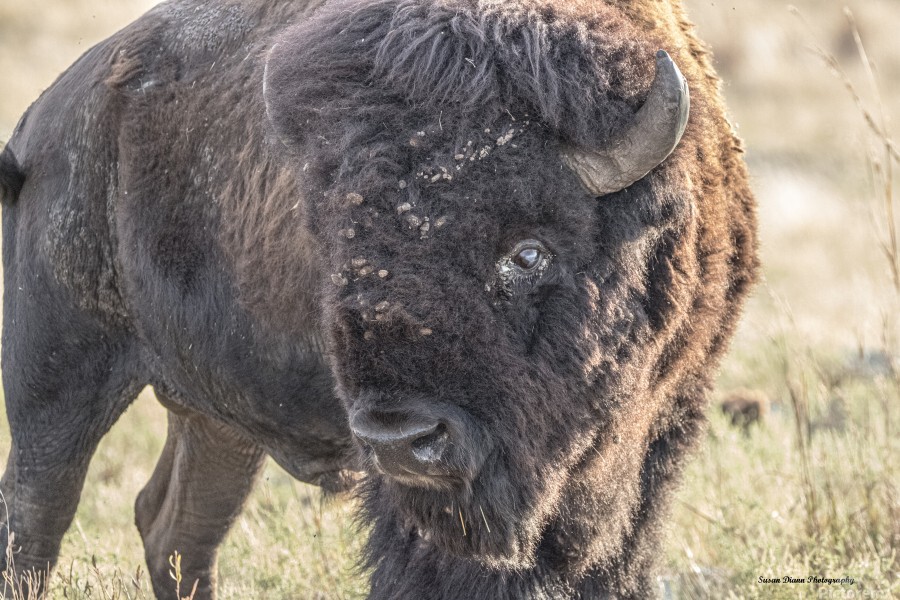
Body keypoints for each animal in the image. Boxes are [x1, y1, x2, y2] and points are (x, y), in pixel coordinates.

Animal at [0, 0, 758, 598]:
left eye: (528, 251)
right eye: (339, 253)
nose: (400, 438)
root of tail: (43, 122)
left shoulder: (658, 430)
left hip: (218, 422)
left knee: (177, 531)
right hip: (57, 384)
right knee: (35, 521)